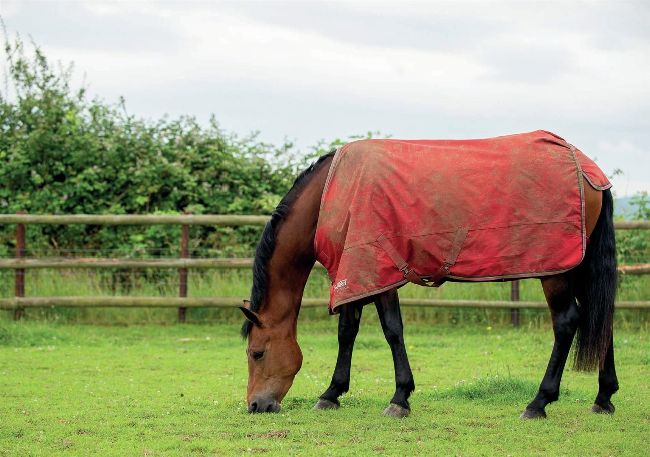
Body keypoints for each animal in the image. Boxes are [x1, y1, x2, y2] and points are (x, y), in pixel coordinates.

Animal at [239, 132, 618, 419]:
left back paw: (538, 403)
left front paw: (399, 398)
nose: (256, 405)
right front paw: (332, 393)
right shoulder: (356, 273)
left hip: (556, 271)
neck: (331, 196)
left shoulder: (376, 269)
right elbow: (348, 332)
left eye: (256, 353)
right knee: (601, 319)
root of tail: (588, 171)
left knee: (567, 322)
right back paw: (603, 397)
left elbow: (392, 330)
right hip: (577, 265)